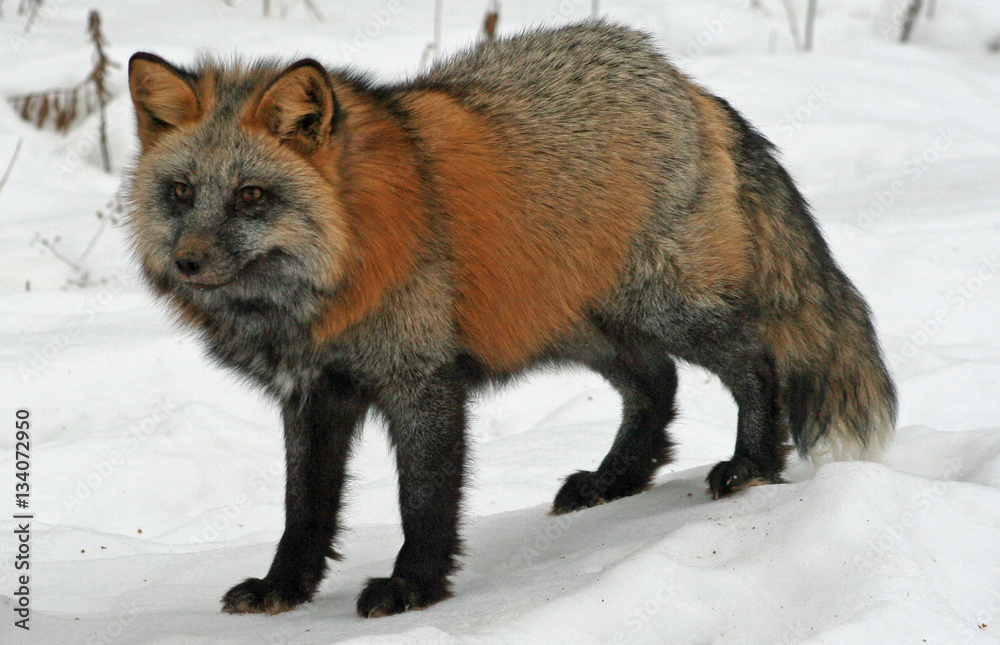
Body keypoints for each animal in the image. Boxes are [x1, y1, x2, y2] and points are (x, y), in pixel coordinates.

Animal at [125, 21, 896, 618]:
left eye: (251, 195)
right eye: (182, 192)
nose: (186, 262)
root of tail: (677, 76)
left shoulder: (421, 381)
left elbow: (424, 500)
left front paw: (413, 587)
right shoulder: (313, 396)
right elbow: (303, 510)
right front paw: (283, 588)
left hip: (661, 307)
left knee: (755, 359)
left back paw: (752, 464)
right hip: (573, 322)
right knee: (657, 382)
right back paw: (614, 480)